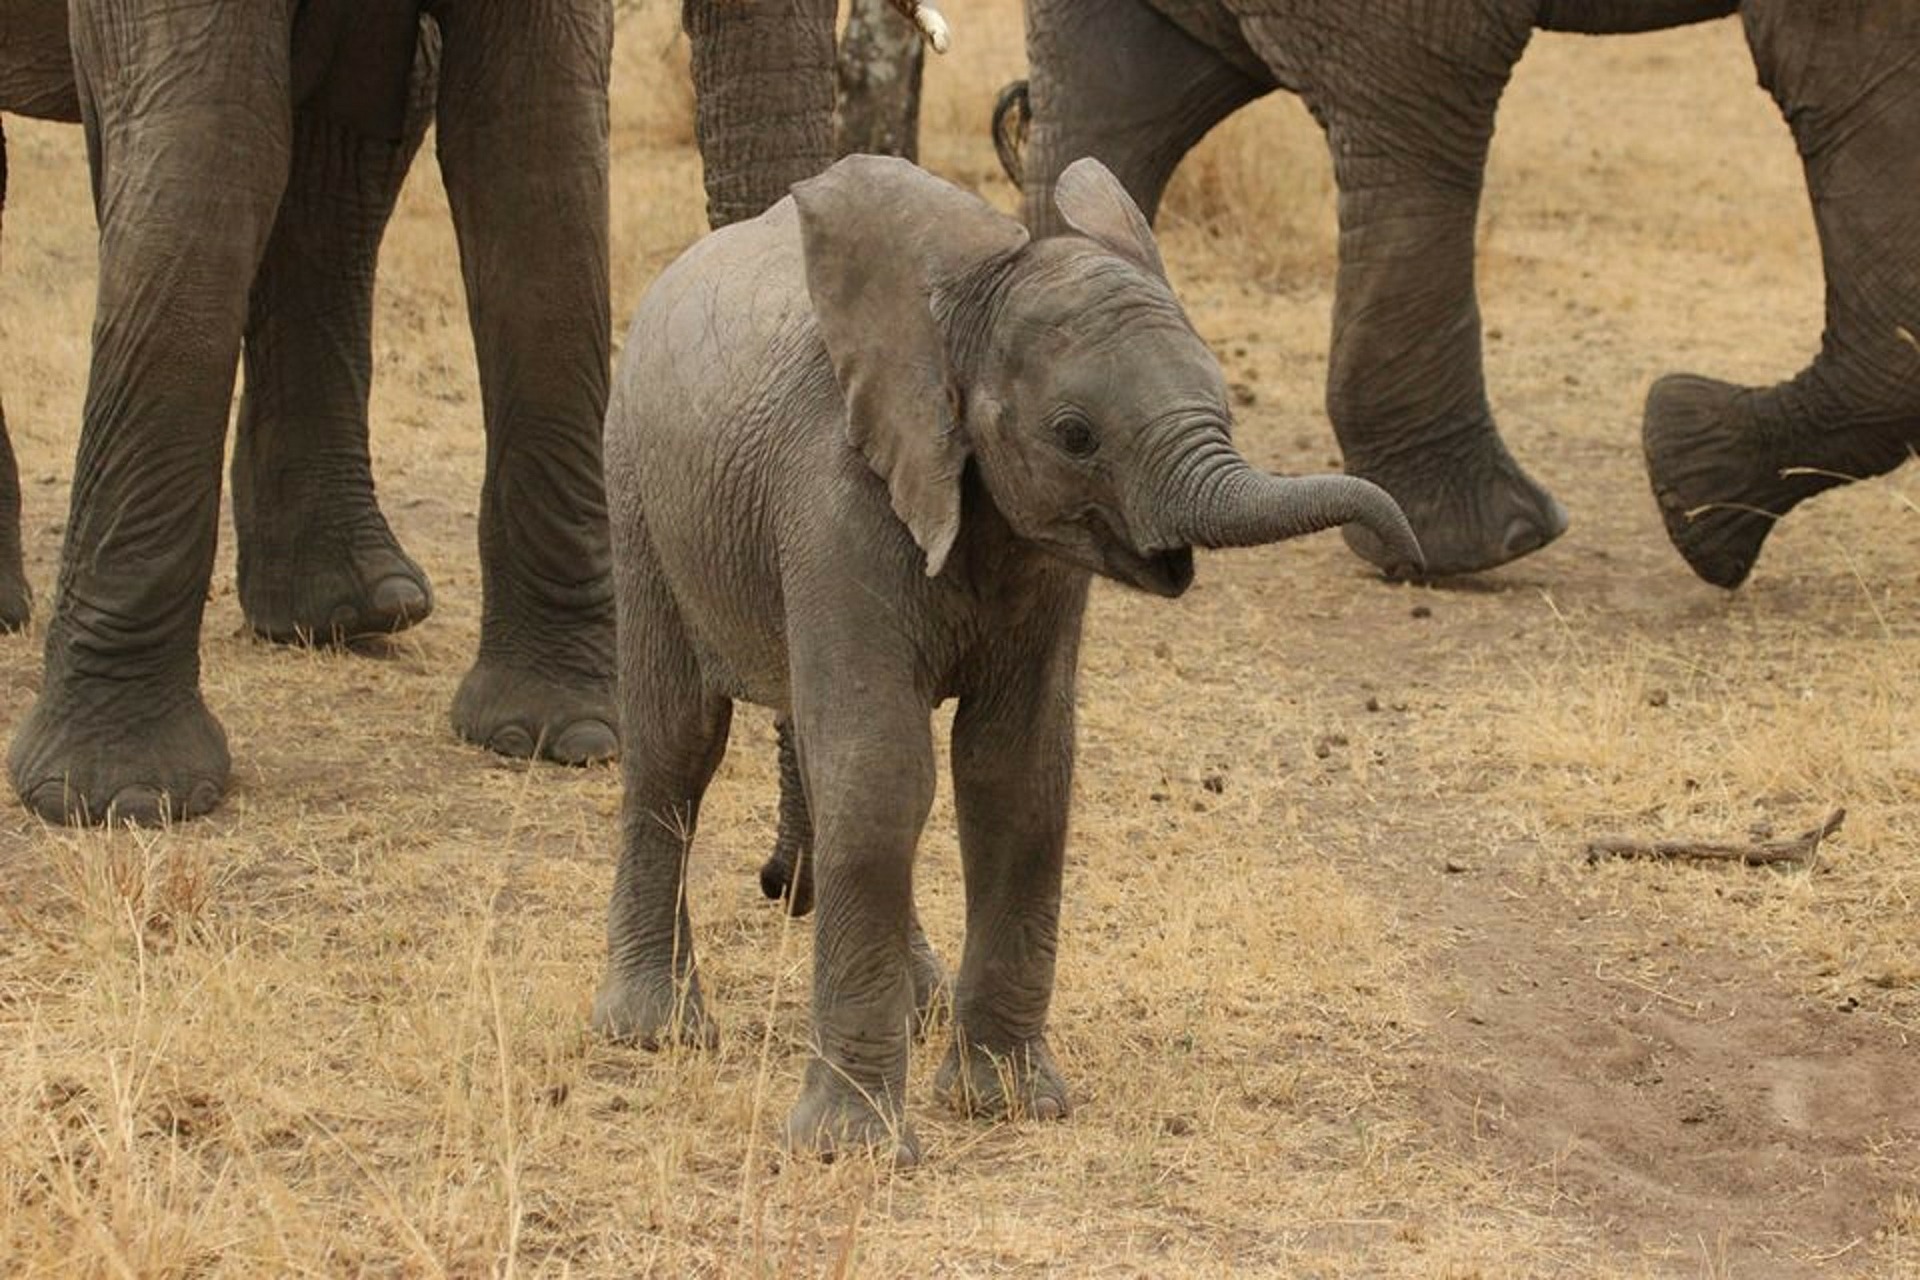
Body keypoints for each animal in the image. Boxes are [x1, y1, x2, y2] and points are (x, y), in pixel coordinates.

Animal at [0, 0, 857, 825]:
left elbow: (535, 151)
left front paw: (568, 734)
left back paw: (352, 610)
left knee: (334, 172)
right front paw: (118, 797)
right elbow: (208, 145)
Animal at [593, 153, 1422, 1163]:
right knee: (677, 743)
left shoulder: (1040, 561)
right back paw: (652, 1031)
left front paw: (1013, 1105)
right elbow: (883, 774)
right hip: (639, 489)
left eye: (1225, 401)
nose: (1408, 551)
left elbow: (1014, 775)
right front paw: (852, 1151)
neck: (965, 316)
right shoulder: (834, 500)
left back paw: (921, 1007)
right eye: (1074, 434)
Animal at [993, 0, 1920, 587]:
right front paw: (1694, 486)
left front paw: (1696, 487)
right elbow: (1862, 84)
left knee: (1116, 105)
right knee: (1424, 116)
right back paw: (1487, 548)